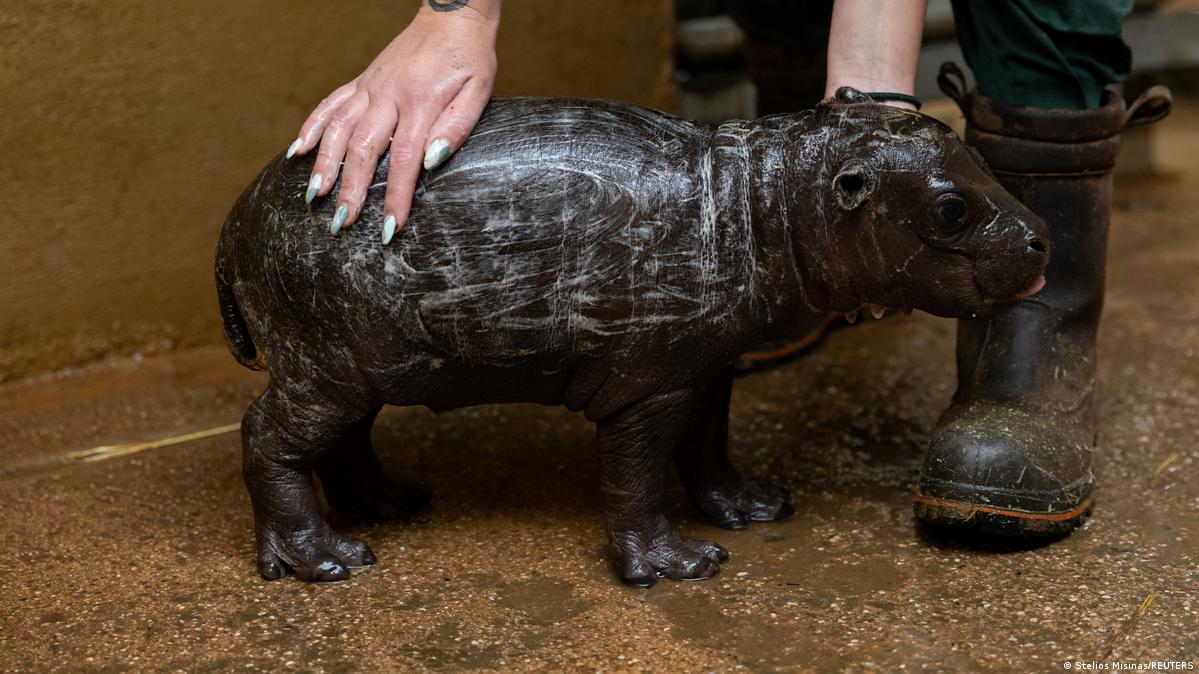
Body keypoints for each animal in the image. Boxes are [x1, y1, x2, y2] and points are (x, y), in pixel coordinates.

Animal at [216, 87, 1049, 586]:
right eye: (950, 209)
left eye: (980, 155)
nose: (1040, 236)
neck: (765, 200)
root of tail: (235, 212)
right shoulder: (646, 384)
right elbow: (637, 472)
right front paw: (676, 565)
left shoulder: (706, 363)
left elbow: (708, 443)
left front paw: (754, 506)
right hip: (323, 363)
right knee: (268, 436)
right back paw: (326, 561)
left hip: (359, 363)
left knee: (342, 436)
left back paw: (391, 504)